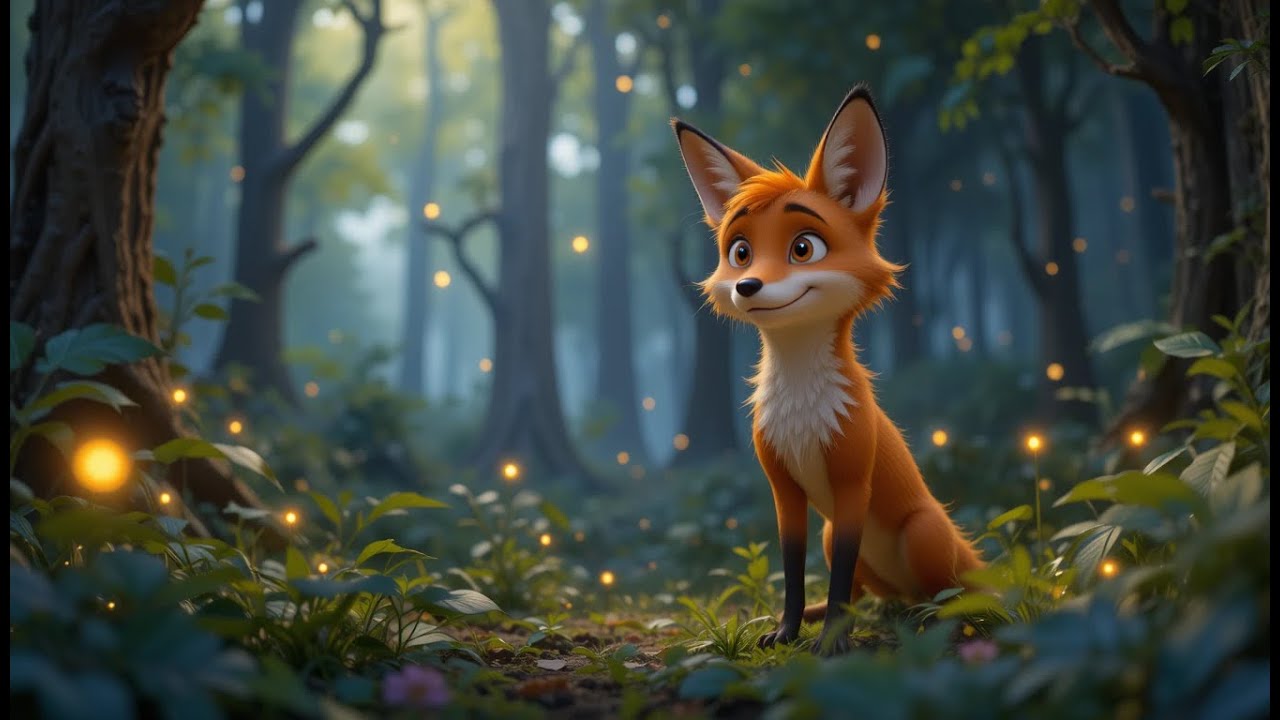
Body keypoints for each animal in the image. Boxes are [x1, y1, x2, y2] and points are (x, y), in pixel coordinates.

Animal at [671, 85, 983, 655]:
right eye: (740, 251)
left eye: (803, 248)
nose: (747, 285)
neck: (801, 412)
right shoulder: (785, 491)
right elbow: (795, 574)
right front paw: (787, 631)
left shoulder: (852, 482)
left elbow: (836, 580)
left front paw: (832, 644)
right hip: (832, 532)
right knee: (872, 597)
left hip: (922, 534)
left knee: (947, 599)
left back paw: (937, 624)